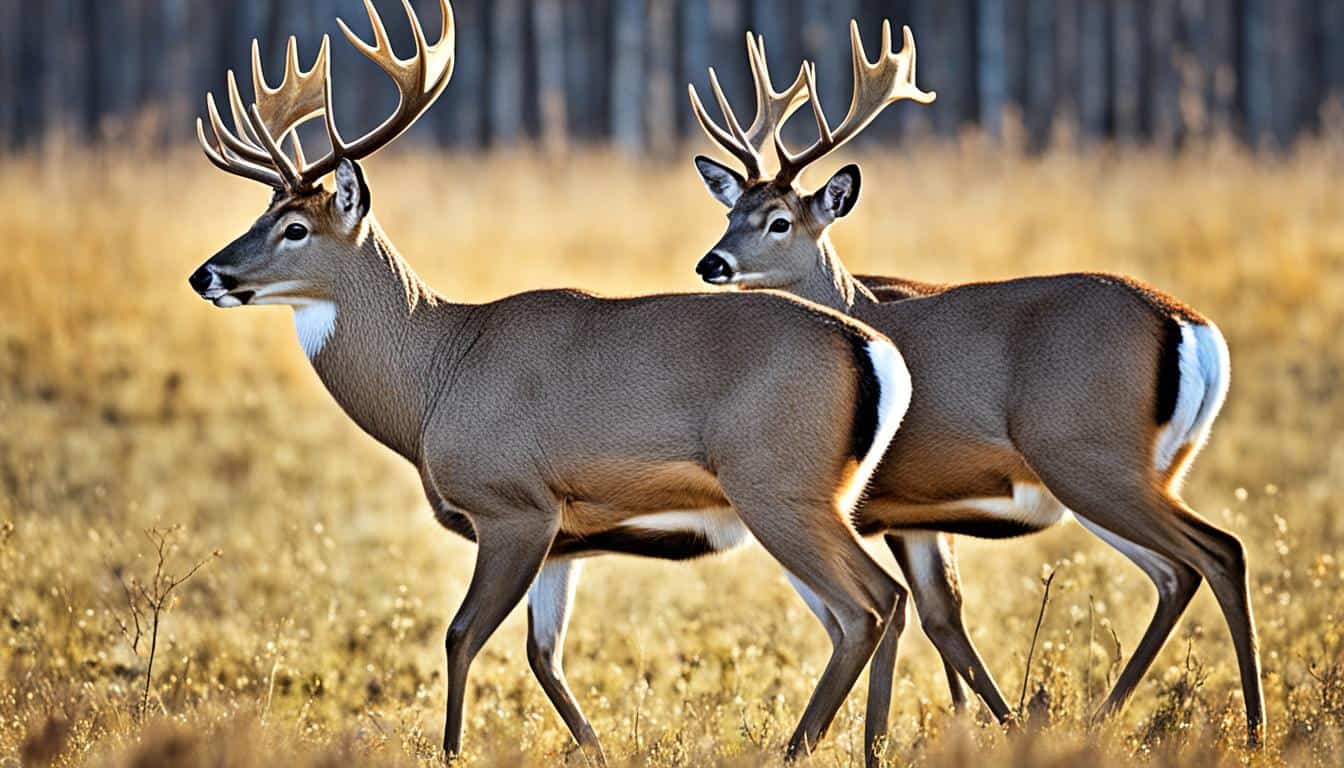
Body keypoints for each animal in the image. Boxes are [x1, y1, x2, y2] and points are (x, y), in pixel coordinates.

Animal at [188, 1, 917, 763]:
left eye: (296, 228)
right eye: (259, 215)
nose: (205, 274)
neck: (433, 384)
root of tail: (873, 348)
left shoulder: (512, 504)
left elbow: (460, 637)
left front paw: (451, 750)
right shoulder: (565, 538)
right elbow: (545, 656)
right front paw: (593, 746)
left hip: (778, 485)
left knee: (872, 604)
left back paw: (804, 745)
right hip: (813, 497)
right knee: (875, 608)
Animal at [688, 20, 1262, 757]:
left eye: (779, 220)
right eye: (732, 211)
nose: (712, 263)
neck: (860, 306)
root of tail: (1190, 325)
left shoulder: (886, 498)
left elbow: (918, 617)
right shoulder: (913, 513)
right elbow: (942, 619)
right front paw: (986, 725)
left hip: (1086, 454)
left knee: (1217, 552)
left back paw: (1246, 729)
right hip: (1135, 469)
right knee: (1177, 571)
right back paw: (1113, 718)